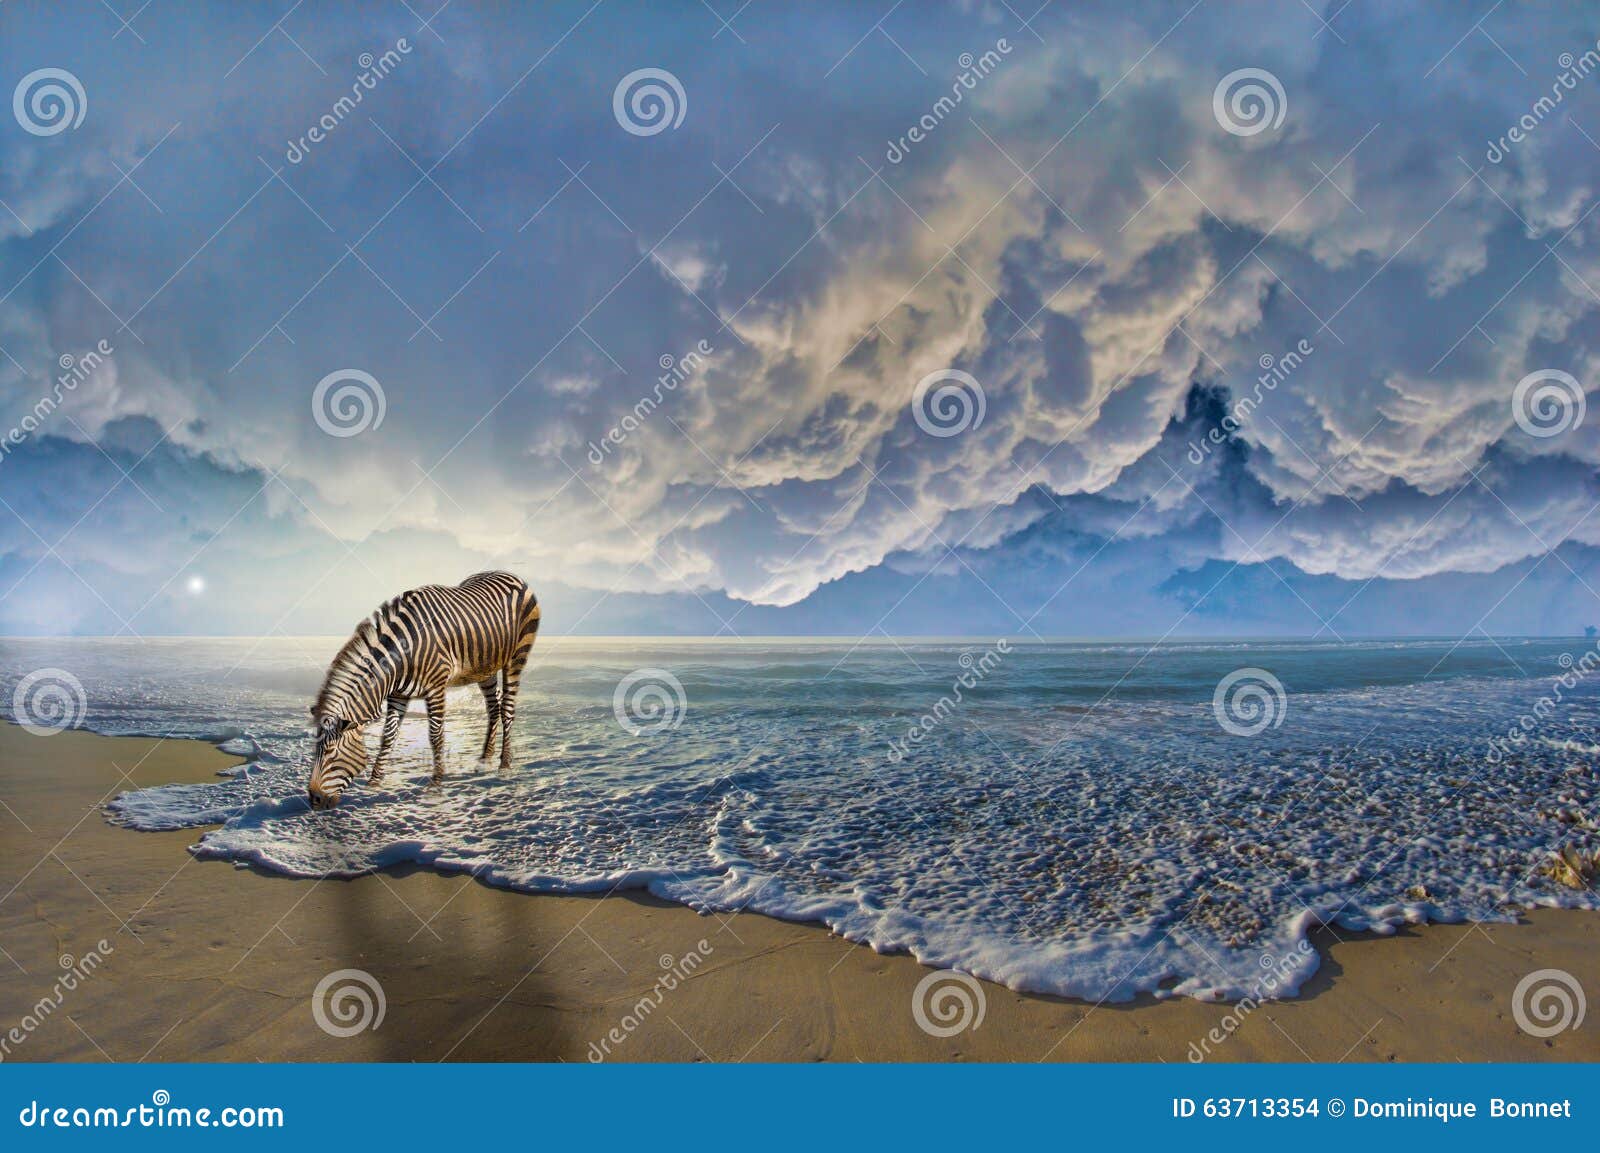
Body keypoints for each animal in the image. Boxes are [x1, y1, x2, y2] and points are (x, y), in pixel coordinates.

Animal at [306, 571, 540, 809]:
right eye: (315, 751)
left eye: (331, 753)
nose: (314, 800)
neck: (402, 655)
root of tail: (509, 574)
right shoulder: (398, 695)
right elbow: (388, 735)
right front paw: (374, 782)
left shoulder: (435, 687)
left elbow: (435, 735)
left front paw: (436, 783)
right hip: (485, 667)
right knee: (494, 706)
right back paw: (484, 760)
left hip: (516, 655)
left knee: (507, 707)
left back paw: (504, 765)